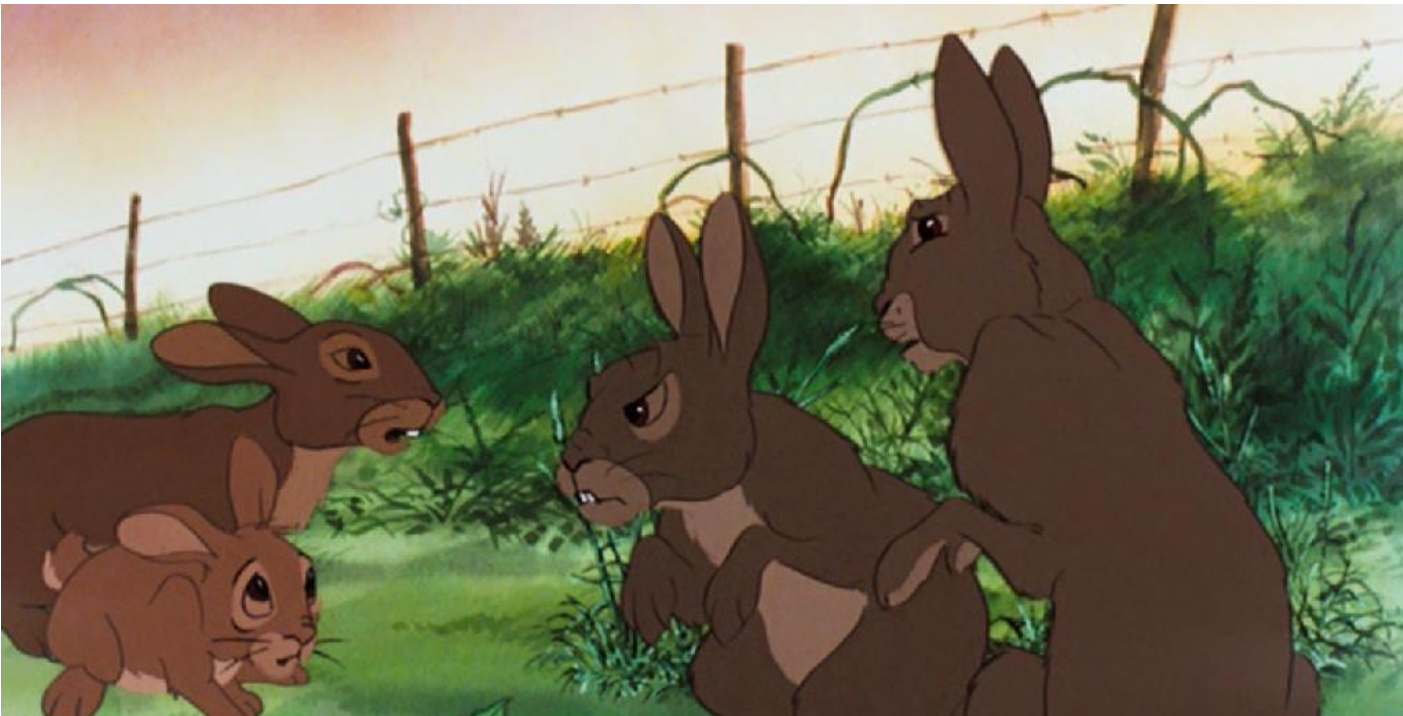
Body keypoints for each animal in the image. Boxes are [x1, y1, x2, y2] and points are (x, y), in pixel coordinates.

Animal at [41, 436, 317, 716]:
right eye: (257, 589)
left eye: (310, 579)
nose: (305, 637)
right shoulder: (190, 671)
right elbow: (214, 699)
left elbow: (230, 686)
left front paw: (248, 702)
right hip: (99, 643)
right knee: (90, 668)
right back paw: (68, 700)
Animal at [554, 194, 987, 716]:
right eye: (591, 387)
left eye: (641, 409)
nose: (571, 467)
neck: (717, 499)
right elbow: (663, 561)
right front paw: (643, 605)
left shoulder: (837, 516)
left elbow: (776, 543)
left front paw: (728, 598)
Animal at [870, 36, 1319, 716]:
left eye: (929, 227)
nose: (881, 309)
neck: (1034, 307)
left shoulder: (1044, 536)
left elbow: (960, 513)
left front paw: (894, 577)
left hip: (1010, 681)